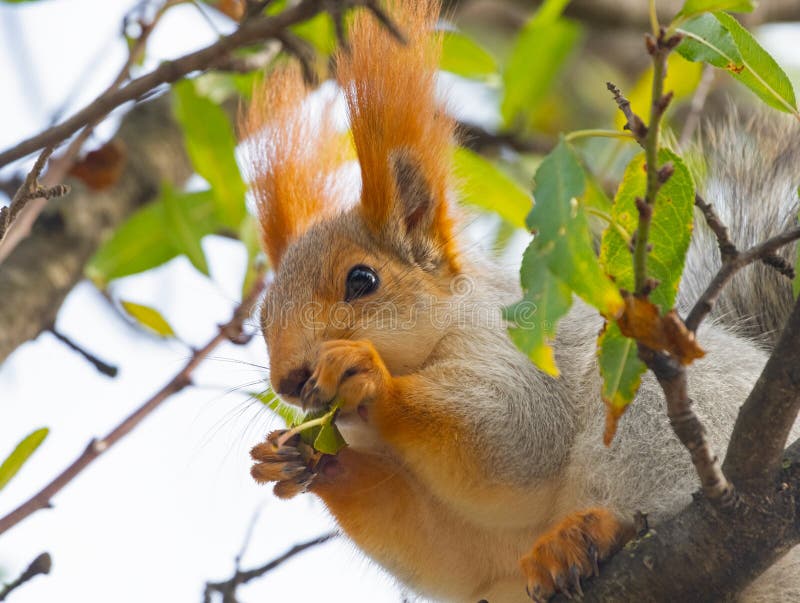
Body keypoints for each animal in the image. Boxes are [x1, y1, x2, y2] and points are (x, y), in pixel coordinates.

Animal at [242, 1, 800, 601]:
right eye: (261, 320)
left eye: (362, 280)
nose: (289, 380)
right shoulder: (452, 538)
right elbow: (433, 543)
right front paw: (301, 457)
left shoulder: (523, 355)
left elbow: (514, 432)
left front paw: (369, 377)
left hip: (658, 413)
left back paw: (591, 534)